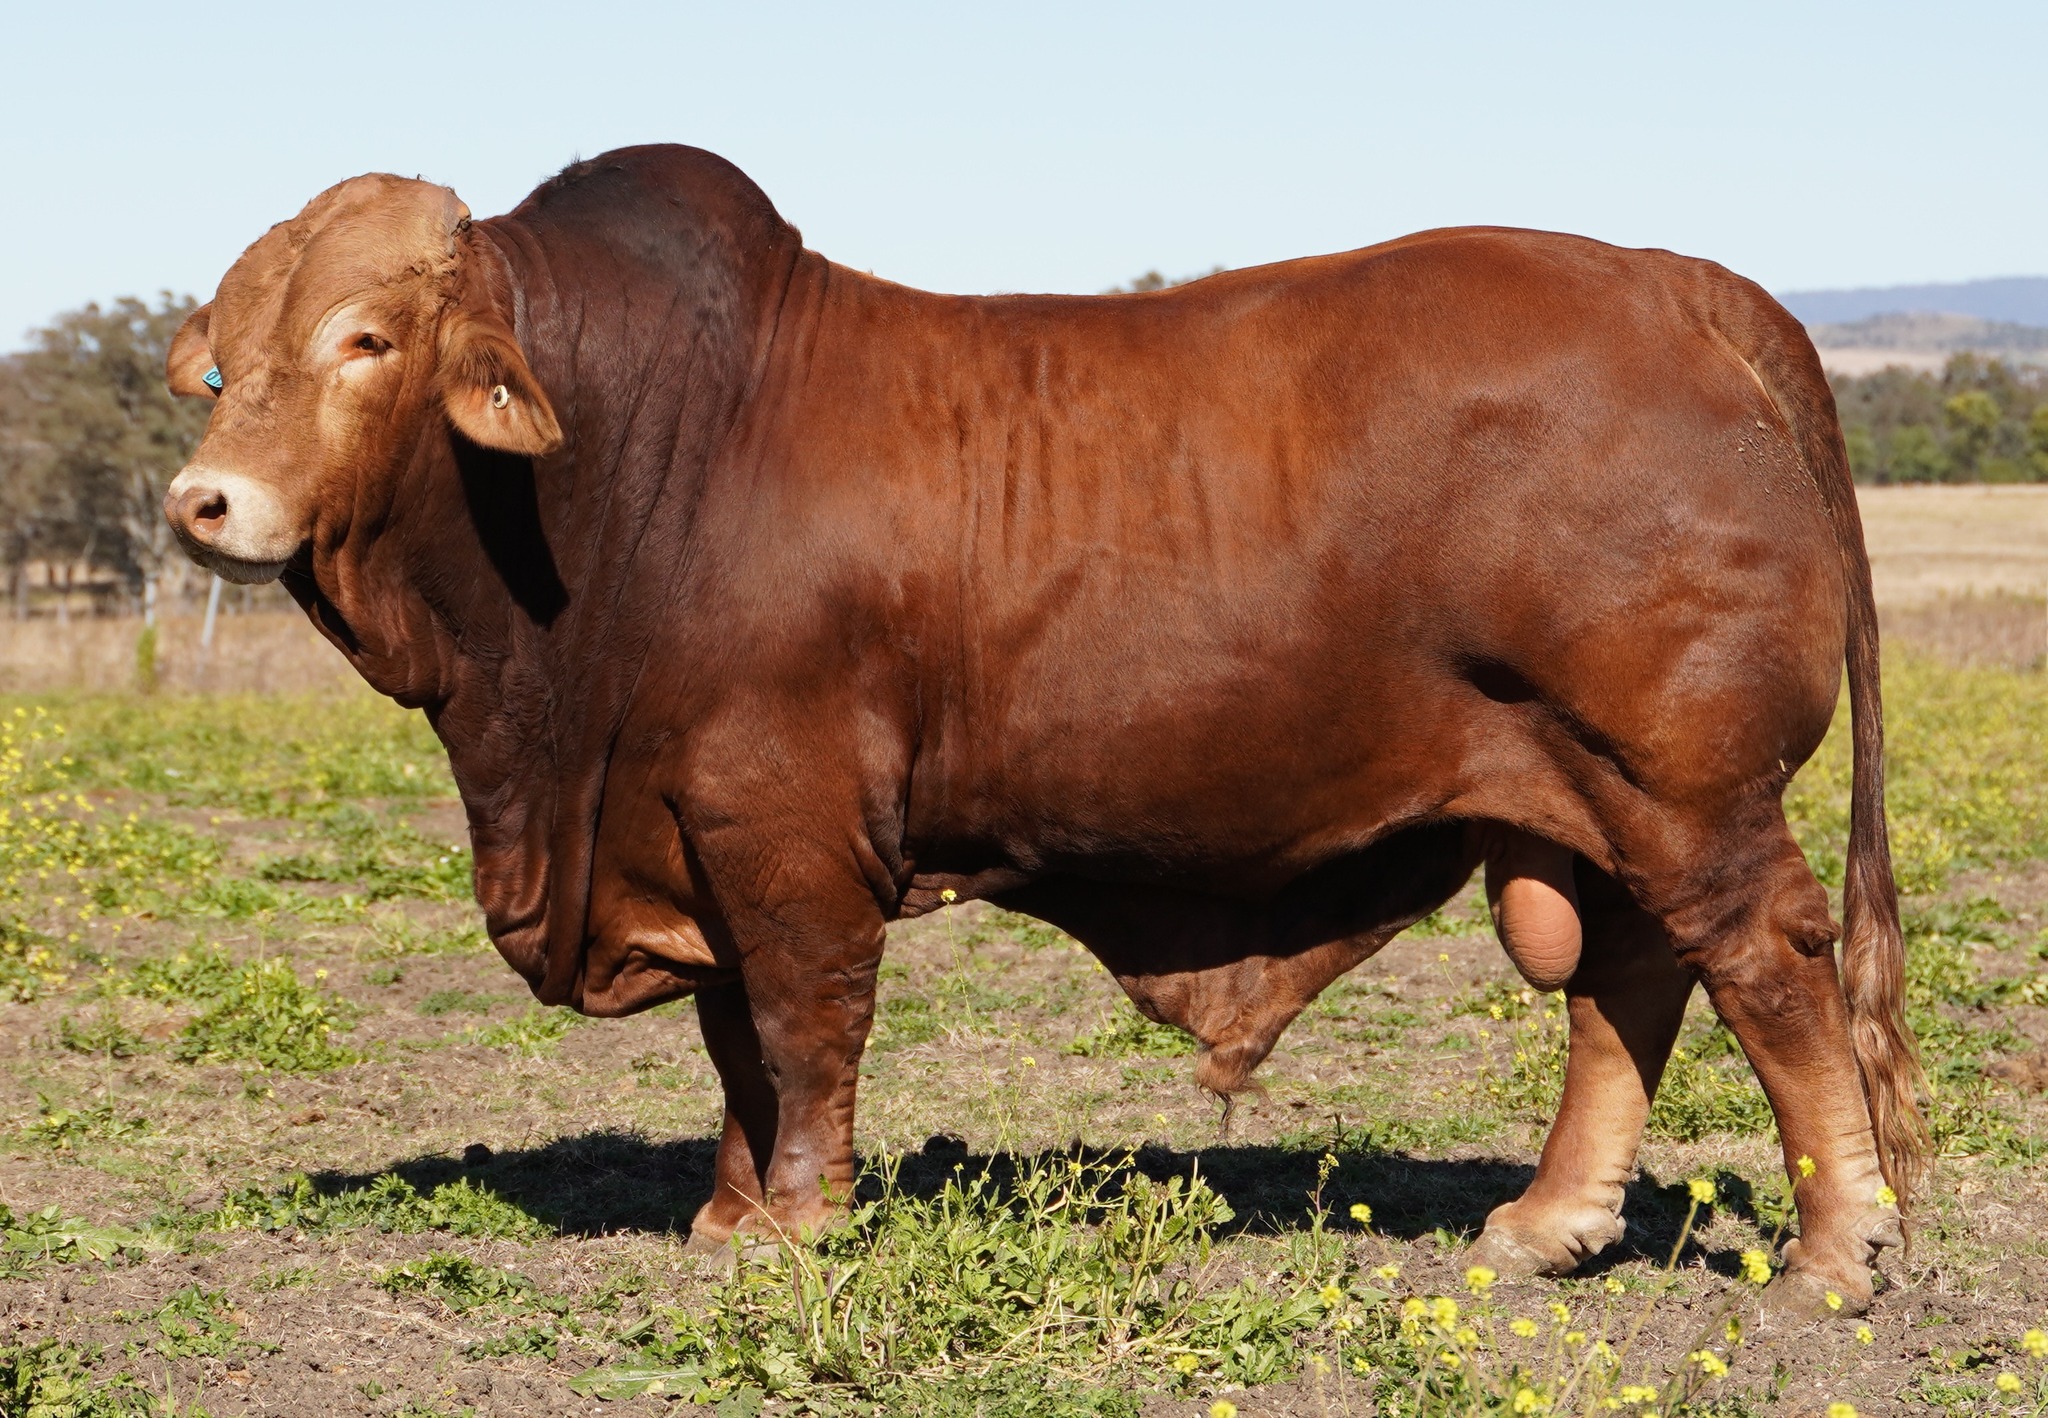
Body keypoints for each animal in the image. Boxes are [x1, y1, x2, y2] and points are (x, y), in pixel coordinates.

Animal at [161, 144, 1924, 1317]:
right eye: (227, 359)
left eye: (365, 340)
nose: (204, 501)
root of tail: (1675, 284)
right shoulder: (690, 830)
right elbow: (736, 1040)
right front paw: (728, 1217)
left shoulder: (780, 823)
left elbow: (802, 1026)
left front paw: (796, 1225)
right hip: (1591, 795)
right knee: (1629, 976)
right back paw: (1549, 1221)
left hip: (1683, 784)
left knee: (1765, 962)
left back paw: (1840, 1247)